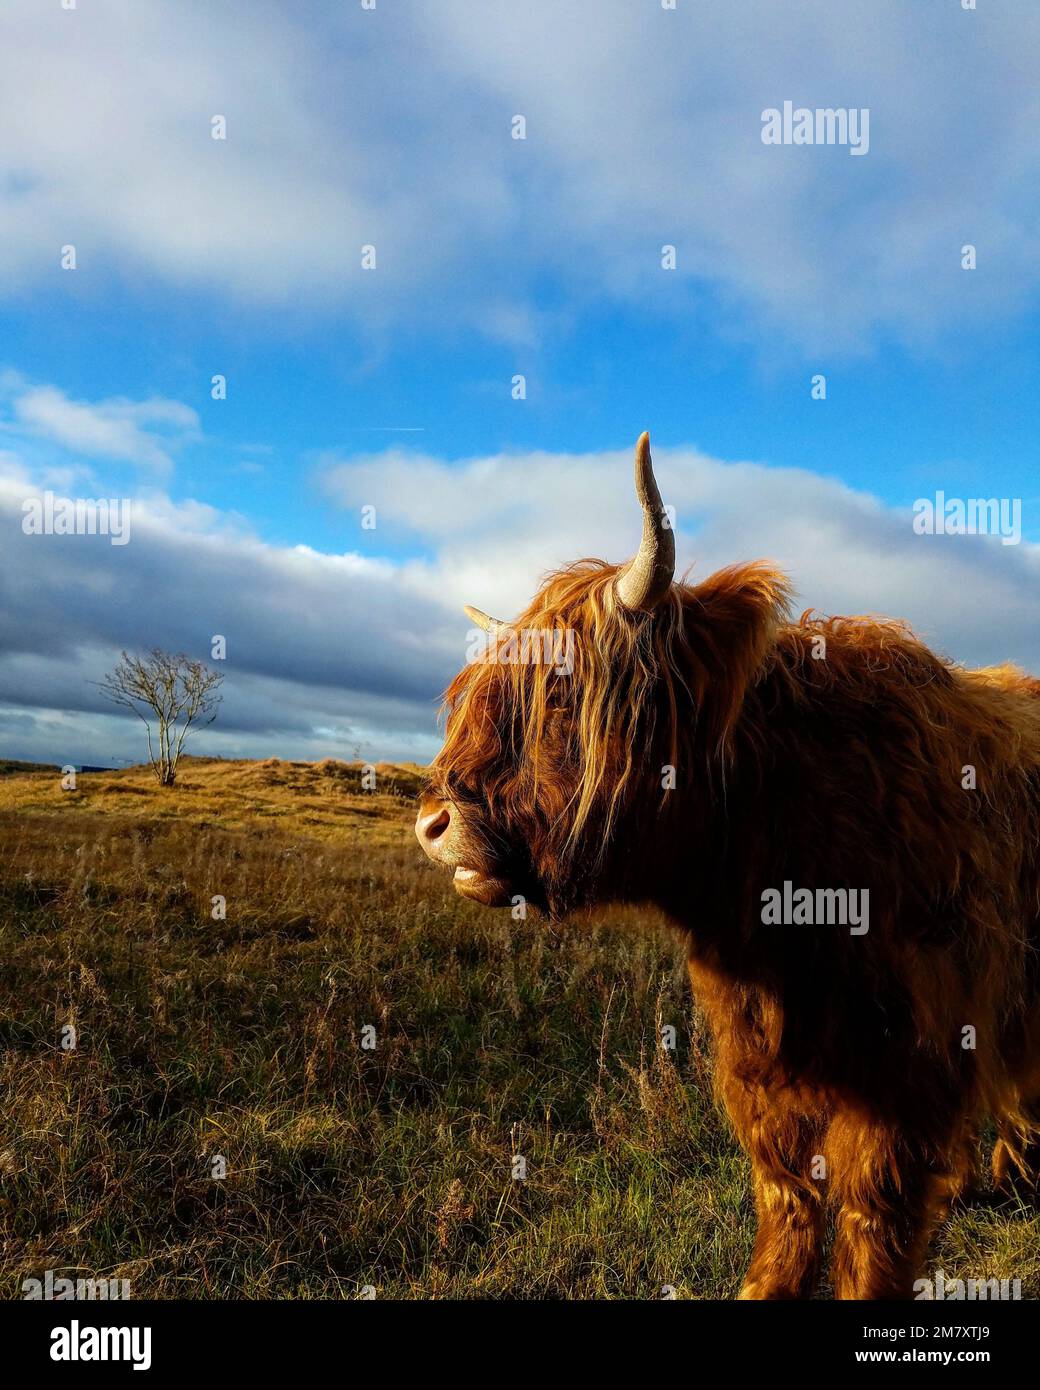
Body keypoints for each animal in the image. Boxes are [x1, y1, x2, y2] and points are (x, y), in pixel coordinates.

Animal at [415, 433, 1040, 1299]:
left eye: (562, 694)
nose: (434, 823)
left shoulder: (905, 1066)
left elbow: (871, 1214)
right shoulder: (756, 1060)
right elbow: (785, 1191)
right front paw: (765, 1286)